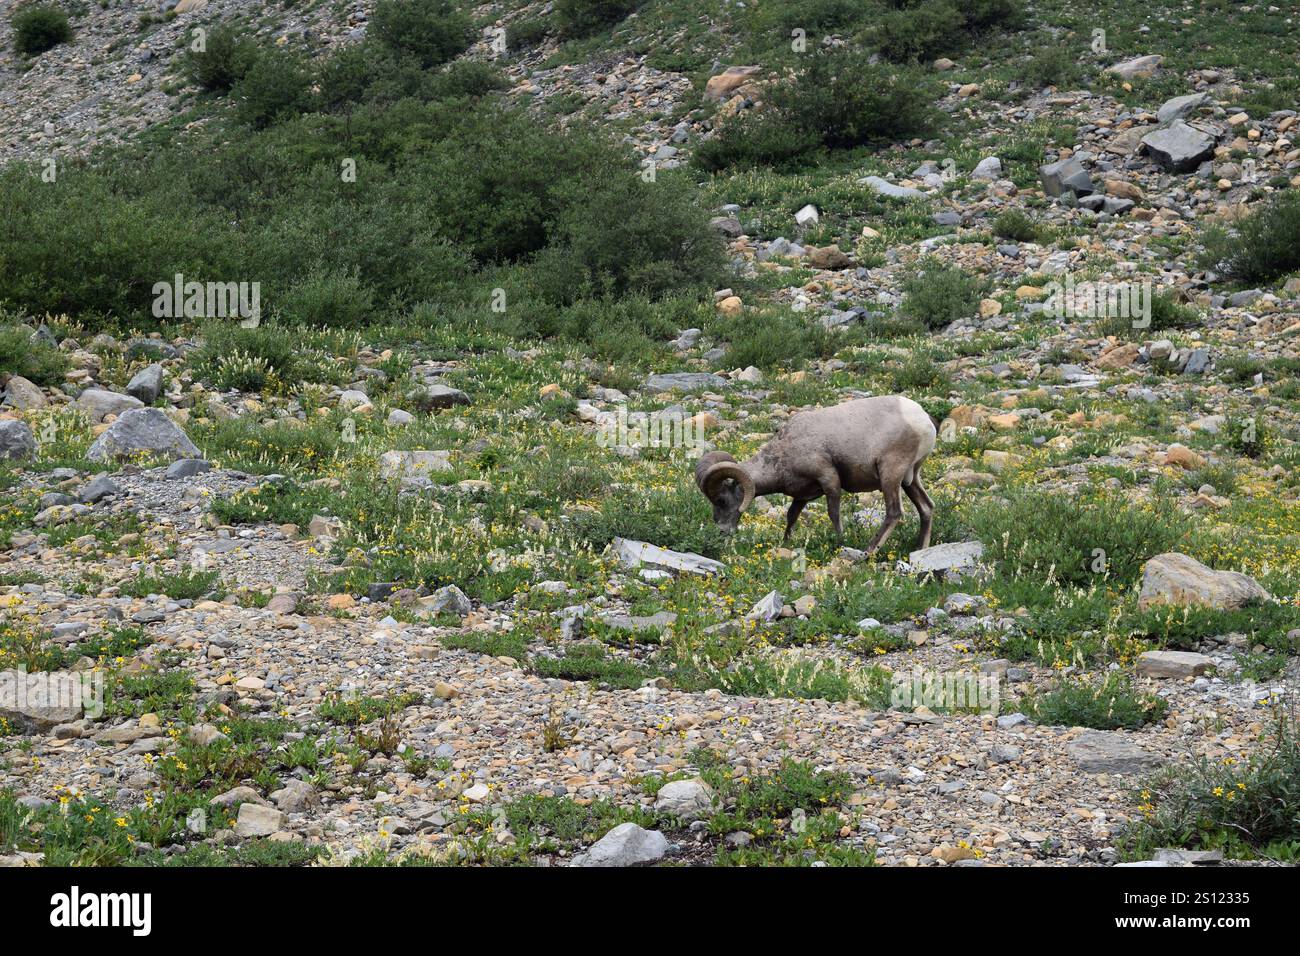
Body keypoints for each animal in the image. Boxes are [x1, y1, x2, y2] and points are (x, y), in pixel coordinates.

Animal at [694, 395, 936, 553]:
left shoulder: (829, 480)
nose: (722, 532)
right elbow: (791, 516)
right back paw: (920, 549)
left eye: (721, 500)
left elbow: (834, 514)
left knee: (894, 512)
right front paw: (785, 543)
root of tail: (922, 420)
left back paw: (869, 551)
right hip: (910, 479)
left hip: (890, 475)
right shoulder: (801, 496)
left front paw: (839, 541)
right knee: (926, 507)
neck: (783, 453)